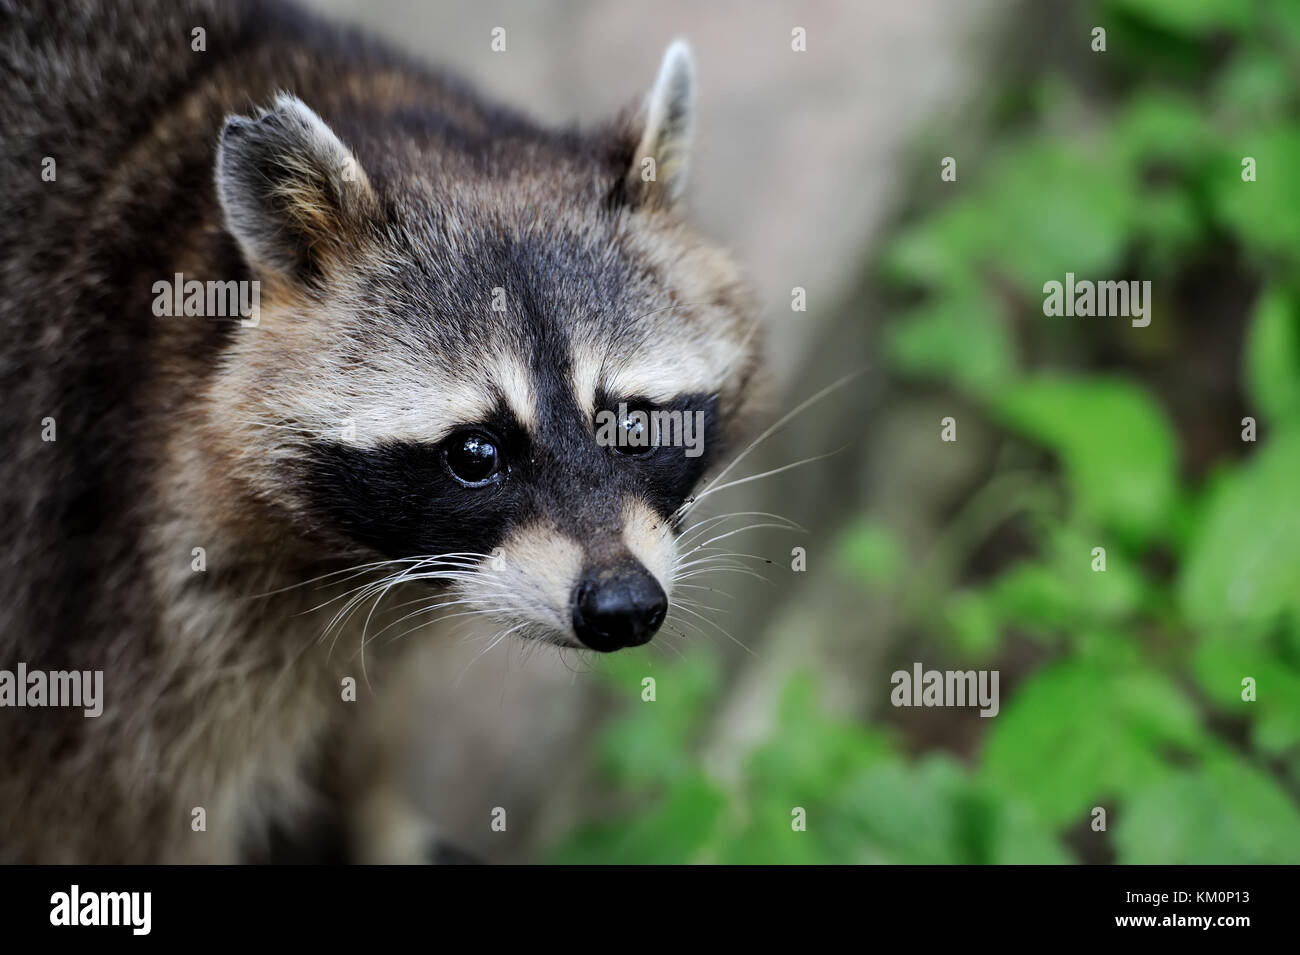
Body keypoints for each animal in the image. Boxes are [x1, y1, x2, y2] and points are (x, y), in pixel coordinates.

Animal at [0, 0, 763, 863]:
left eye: (631, 421)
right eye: (475, 453)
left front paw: (374, 806)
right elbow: (122, 820)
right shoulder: (115, 602)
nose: (624, 605)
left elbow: (370, 706)